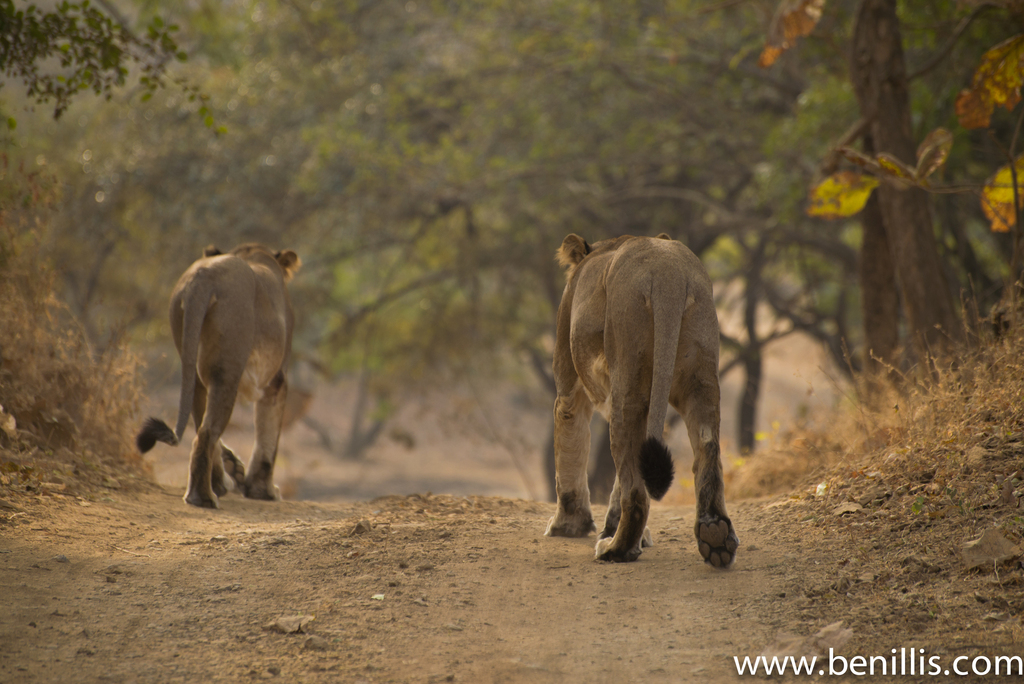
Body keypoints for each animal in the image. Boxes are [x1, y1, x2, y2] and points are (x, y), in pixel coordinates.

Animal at [136, 243, 301, 509]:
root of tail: (202, 277)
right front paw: (263, 491)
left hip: (192, 364)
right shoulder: (277, 378)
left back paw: (218, 484)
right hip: (226, 369)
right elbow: (269, 434)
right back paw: (203, 496)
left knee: (200, 423)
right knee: (207, 431)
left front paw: (235, 469)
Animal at [544, 233, 738, 566]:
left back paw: (615, 550)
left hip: (627, 379)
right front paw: (622, 532)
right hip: (700, 377)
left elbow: (570, 448)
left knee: (634, 490)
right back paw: (716, 537)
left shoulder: (568, 385)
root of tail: (668, 274)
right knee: (708, 451)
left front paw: (568, 525)